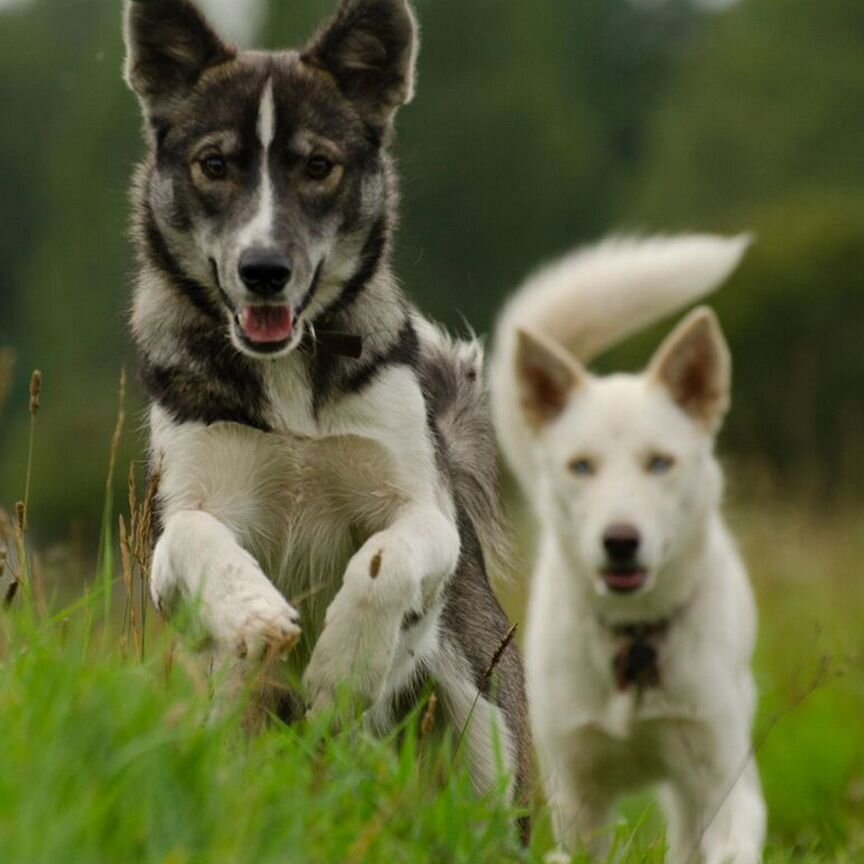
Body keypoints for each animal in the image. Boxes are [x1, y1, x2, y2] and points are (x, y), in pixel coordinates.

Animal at [120, 0, 528, 808]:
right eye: (215, 165)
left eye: (317, 166)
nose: (264, 270)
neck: (286, 376)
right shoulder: (178, 520)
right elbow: (199, 538)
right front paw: (255, 615)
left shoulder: (421, 509)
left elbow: (386, 560)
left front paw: (343, 668)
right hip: (233, 729)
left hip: (486, 731)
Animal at [490, 233, 768, 860]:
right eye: (581, 466)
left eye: (659, 462)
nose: (620, 542)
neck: (633, 640)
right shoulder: (578, 795)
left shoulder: (721, 778)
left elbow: (731, 843)